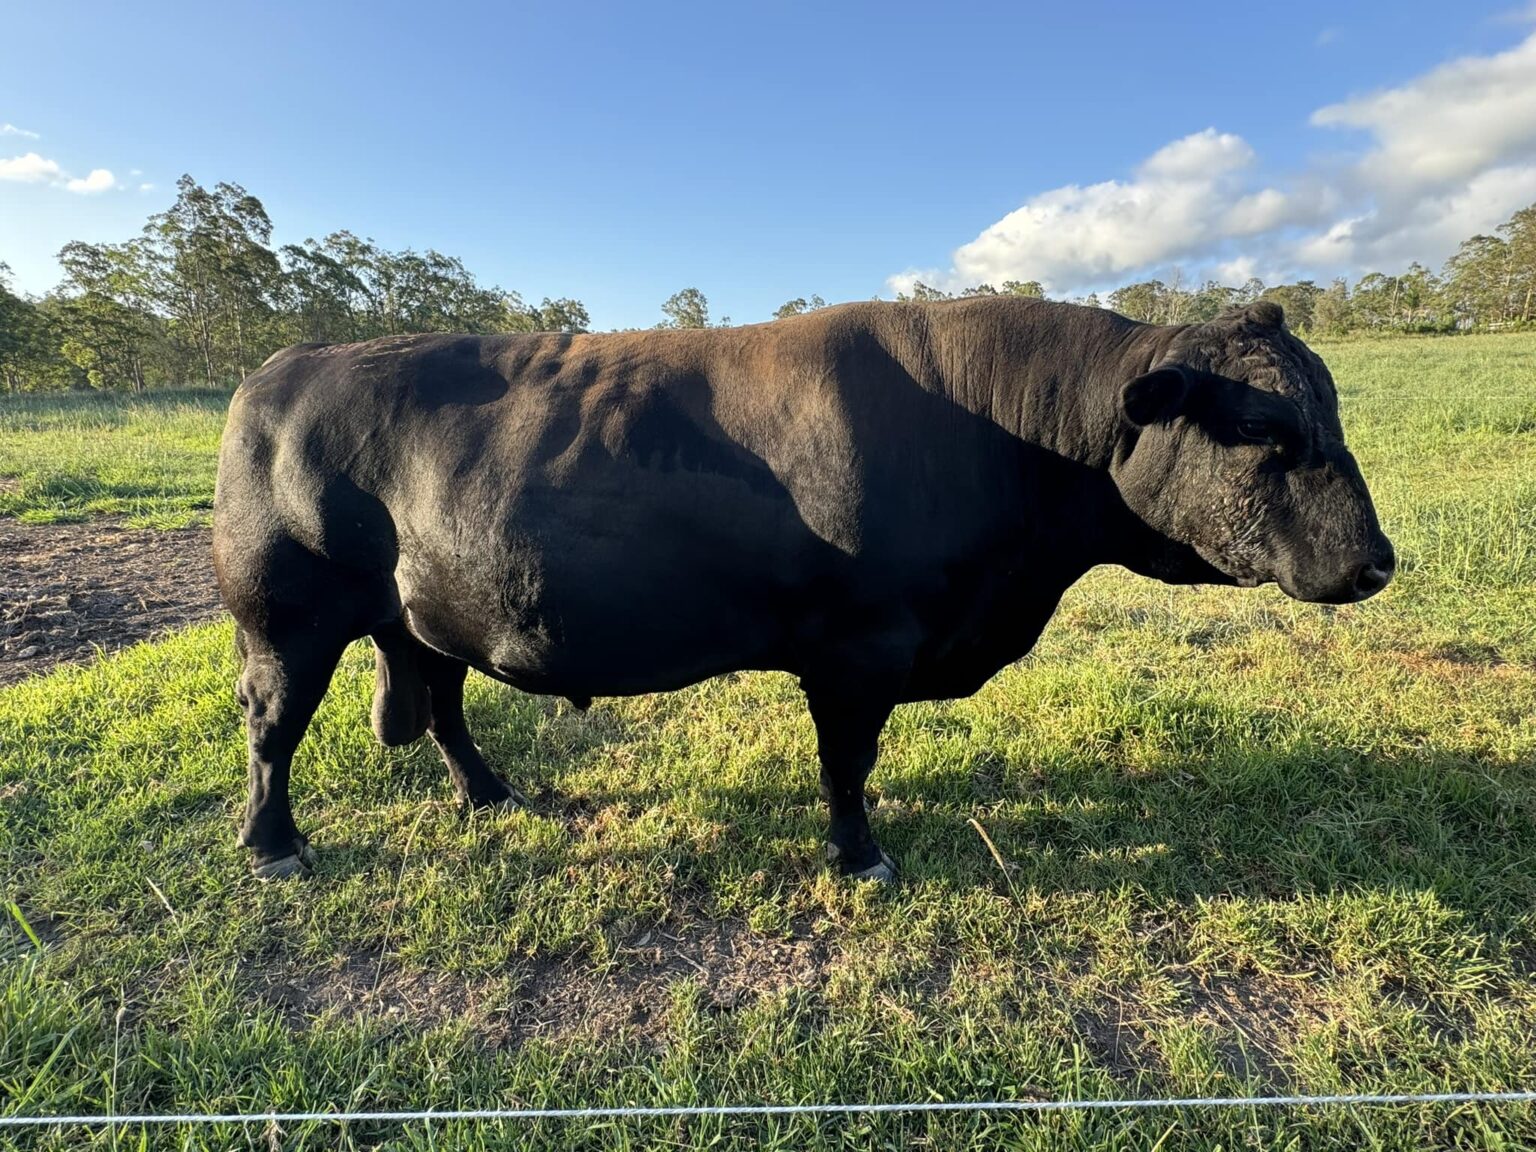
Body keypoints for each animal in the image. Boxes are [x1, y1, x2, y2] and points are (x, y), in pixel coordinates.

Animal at [213, 297, 1393, 881]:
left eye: (1332, 411)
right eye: (1266, 430)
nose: (1376, 561)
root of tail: (281, 367)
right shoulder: (858, 648)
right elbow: (847, 765)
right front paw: (860, 857)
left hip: (429, 609)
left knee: (445, 705)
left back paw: (494, 798)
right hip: (285, 613)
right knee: (273, 725)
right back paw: (275, 848)